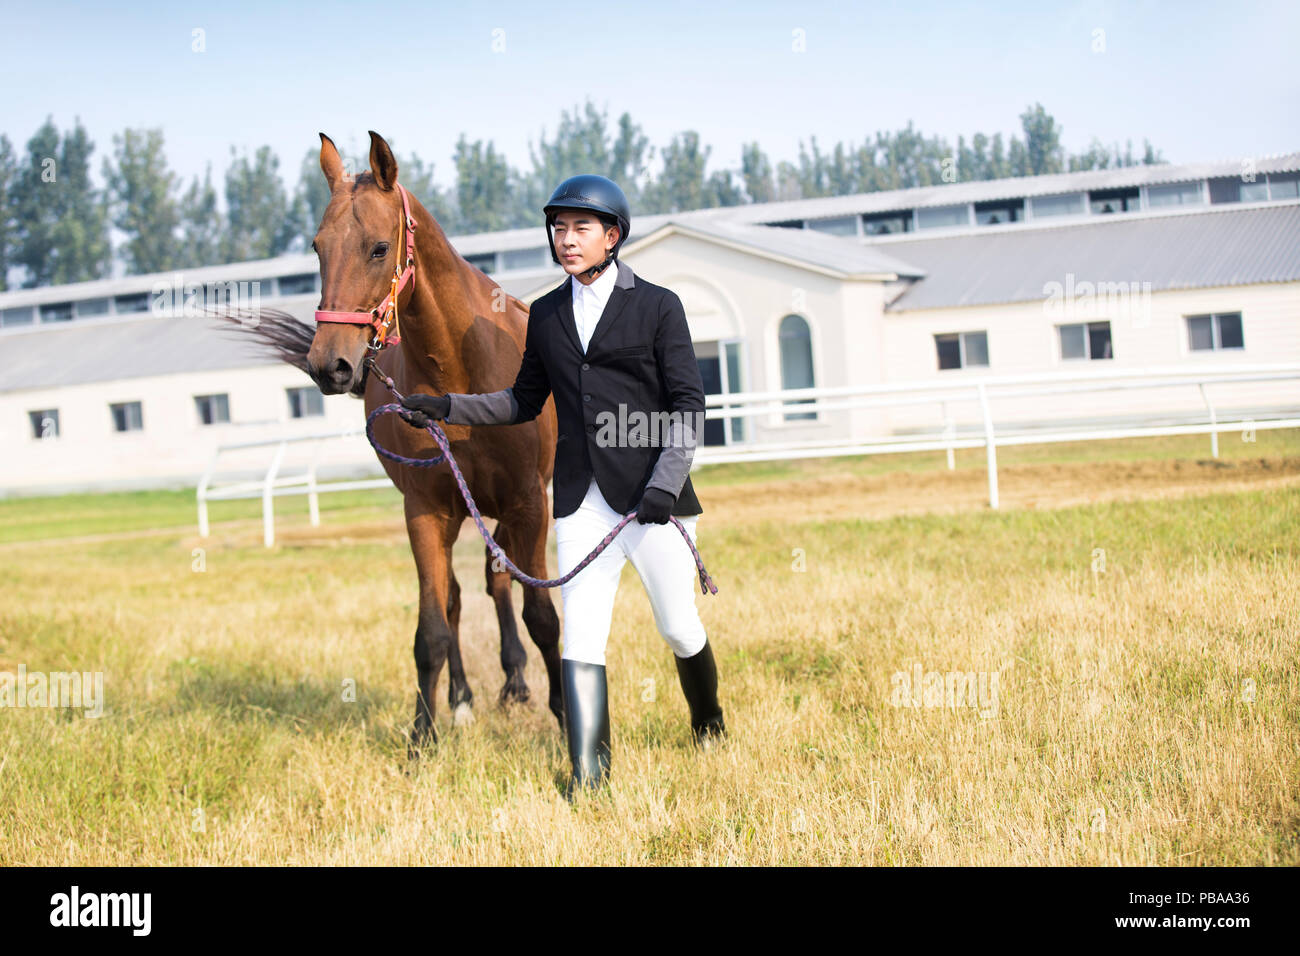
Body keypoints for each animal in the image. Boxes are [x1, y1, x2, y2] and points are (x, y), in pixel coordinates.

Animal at [236, 131, 563, 754]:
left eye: (378, 247)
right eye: (317, 247)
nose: (330, 365)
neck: (462, 374)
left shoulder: (530, 502)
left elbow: (541, 614)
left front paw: (567, 717)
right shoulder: (426, 512)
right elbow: (431, 627)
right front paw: (422, 736)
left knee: (498, 581)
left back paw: (515, 683)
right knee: (459, 597)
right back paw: (463, 699)